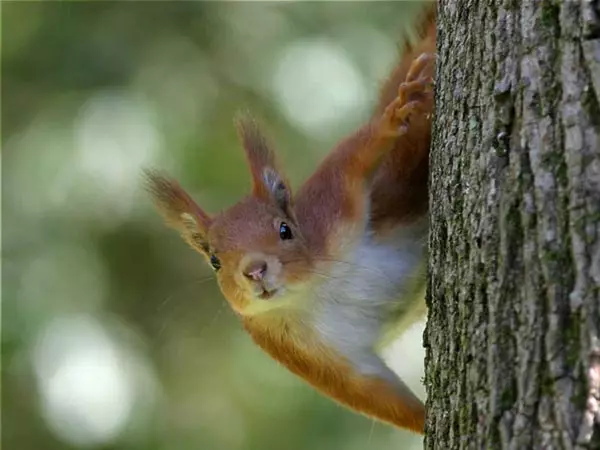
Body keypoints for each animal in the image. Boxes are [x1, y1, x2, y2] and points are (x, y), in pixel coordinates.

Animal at [145, 4, 436, 436]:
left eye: (285, 230)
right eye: (214, 261)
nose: (255, 270)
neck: (312, 290)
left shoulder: (332, 208)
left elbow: (352, 157)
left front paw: (396, 113)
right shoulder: (299, 352)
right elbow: (370, 390)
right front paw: (428, 420)